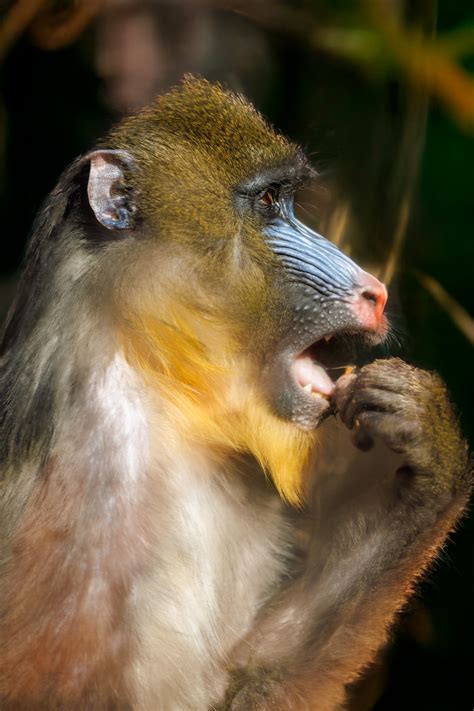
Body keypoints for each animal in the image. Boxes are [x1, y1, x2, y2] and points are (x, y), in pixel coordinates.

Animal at [0, 77, 470, 711]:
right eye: (269, 200)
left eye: (287, 198)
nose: (376, 292)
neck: (157, 374)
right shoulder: (98, 464)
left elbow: (251, 674)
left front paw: (427, 444)